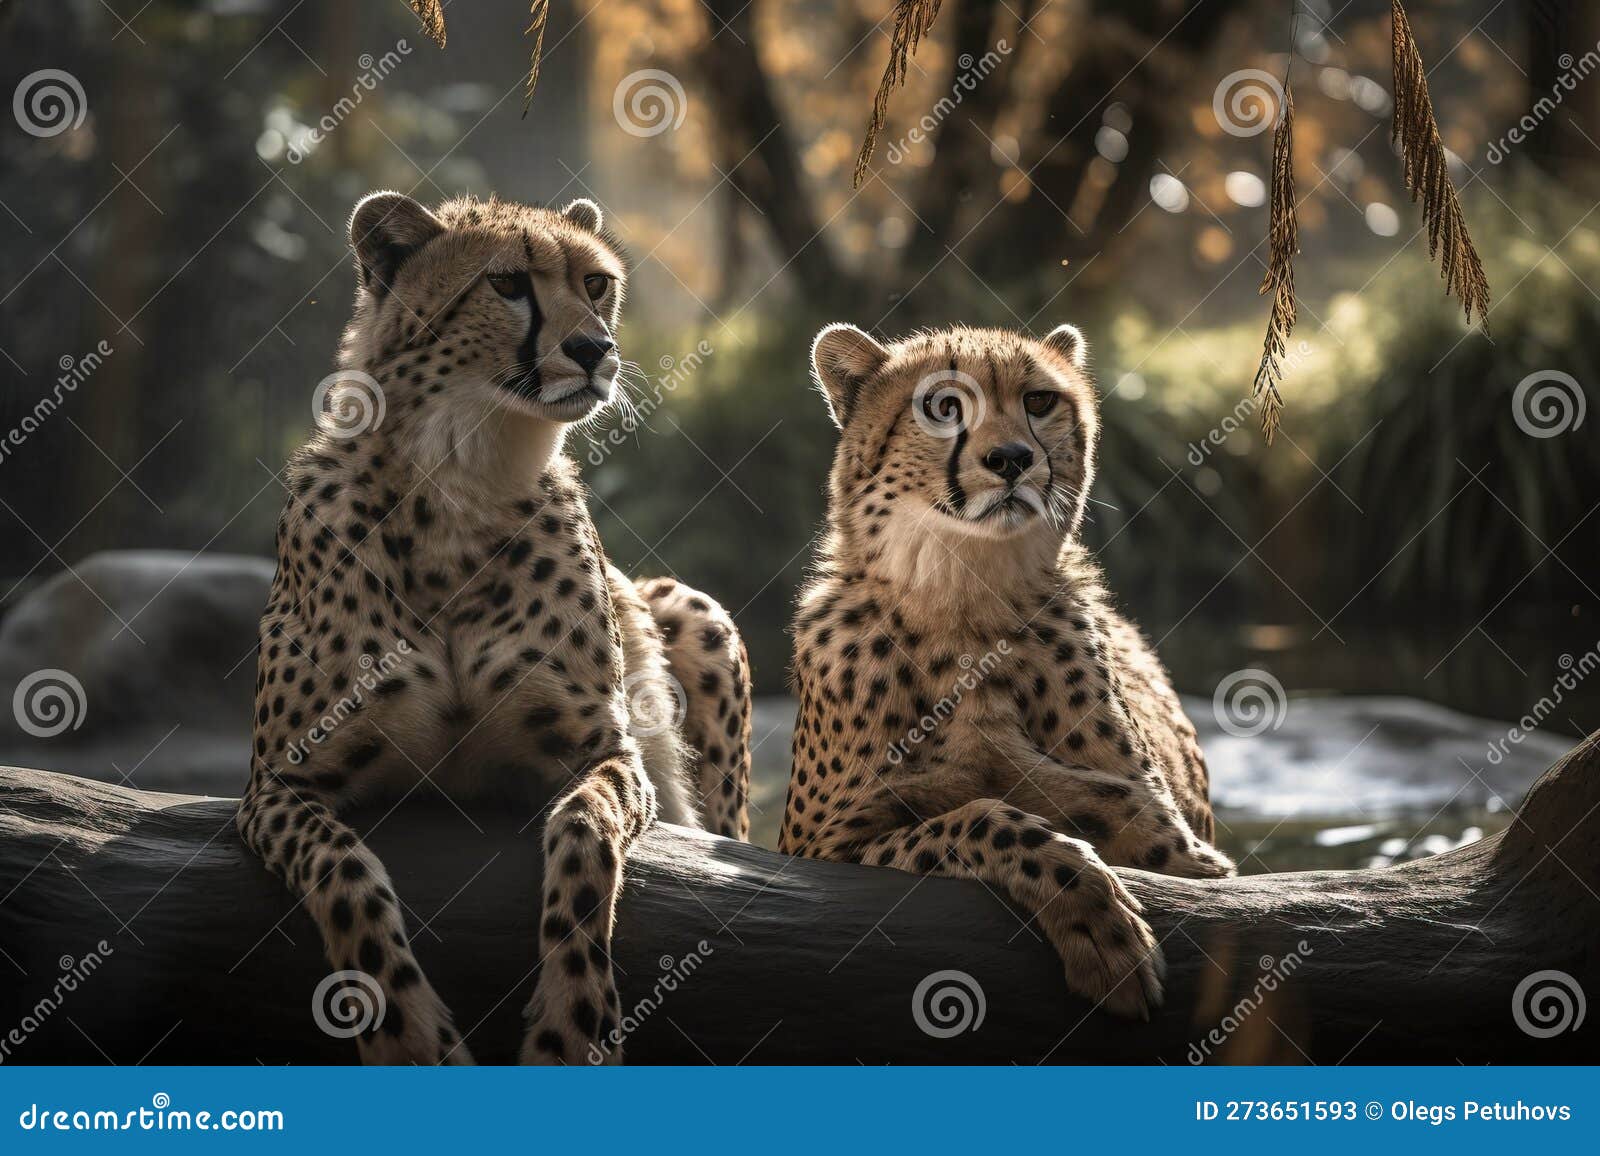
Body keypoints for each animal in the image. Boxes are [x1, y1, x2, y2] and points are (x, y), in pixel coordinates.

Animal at [236, 190, 752, 1065]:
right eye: (507, 283)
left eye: (596, 283)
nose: (595, 348)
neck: (462, 477)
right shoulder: (276, 783)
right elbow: (347, 875)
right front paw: (409, 1039)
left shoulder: (608, 752)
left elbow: (581, 834)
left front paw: (572, 1024)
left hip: (695, 615)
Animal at [781, 321, 1234, 1019]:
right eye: (943, 406)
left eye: (1039, 401)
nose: (1013, 458)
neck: (968, 602)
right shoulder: (818, 850)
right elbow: (976, 818)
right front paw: (1101, 927)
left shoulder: (1186, 851)